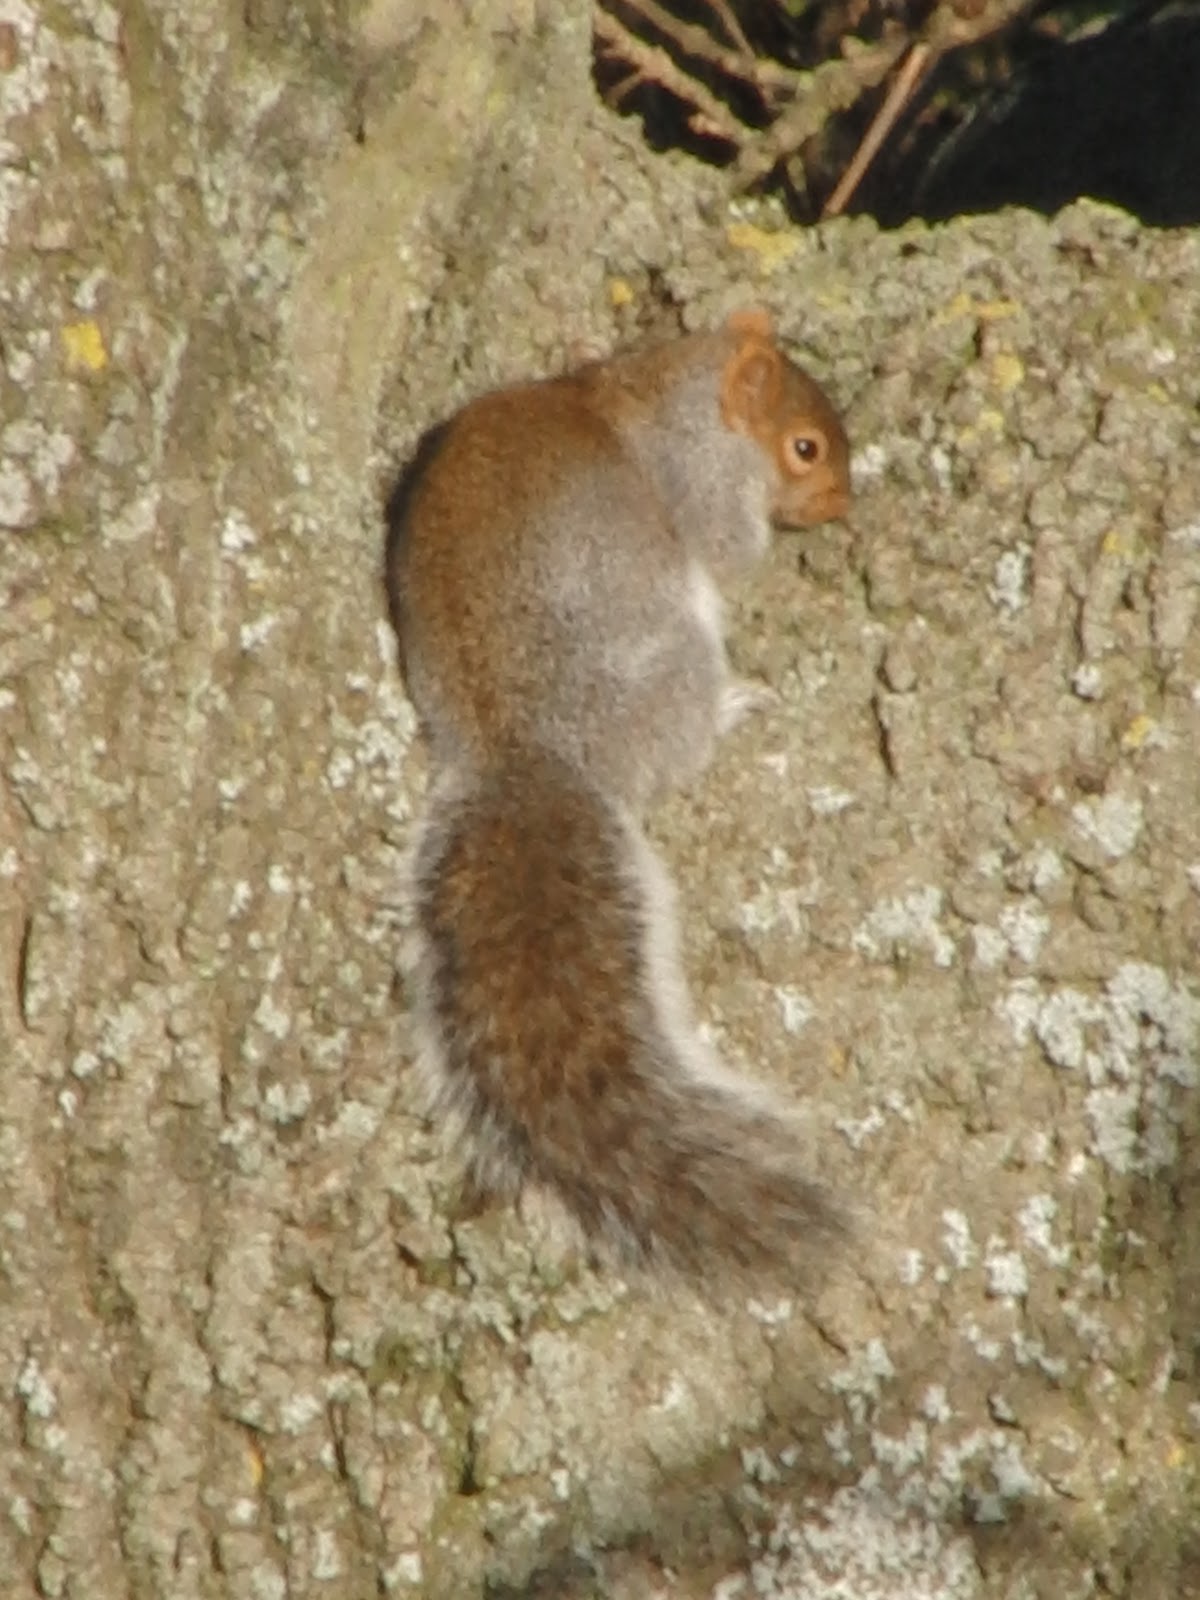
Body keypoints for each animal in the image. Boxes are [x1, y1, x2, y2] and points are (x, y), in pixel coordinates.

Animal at [384, 309, 852, 1278]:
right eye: (805, 448)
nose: (843, 505)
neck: (652, 388)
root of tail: (528, 754)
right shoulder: (704, 483)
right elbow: (729, 547)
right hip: (677, 660)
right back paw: (733, 708)